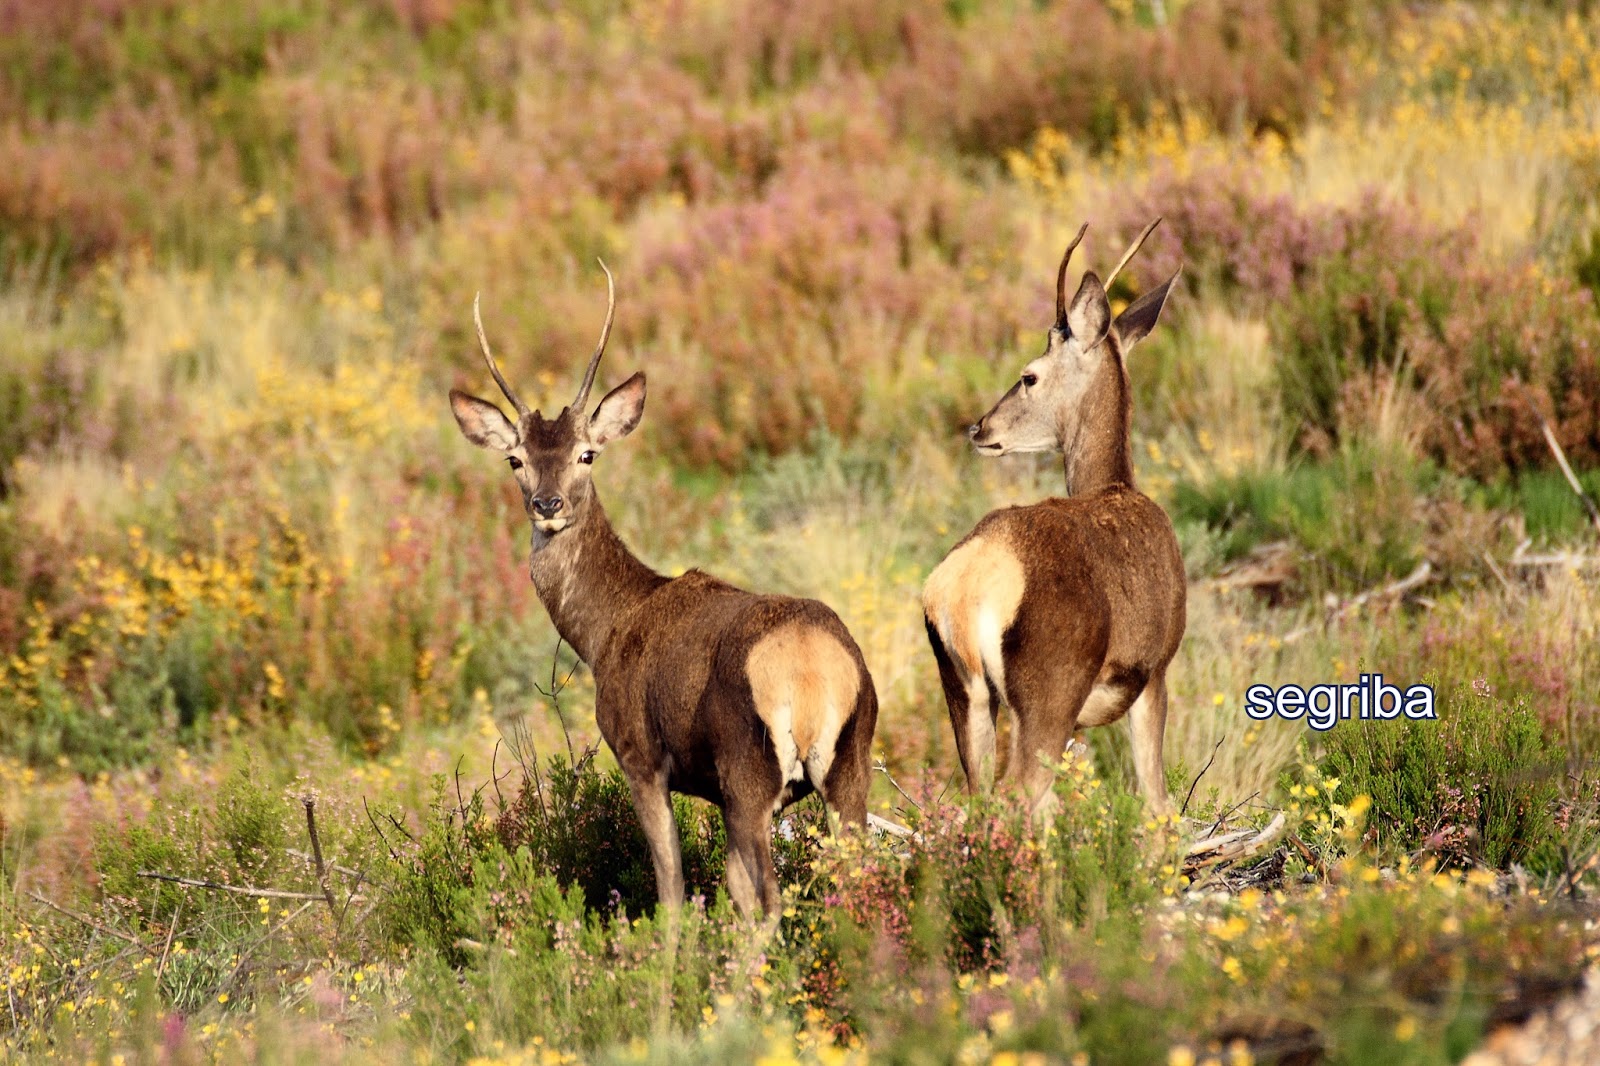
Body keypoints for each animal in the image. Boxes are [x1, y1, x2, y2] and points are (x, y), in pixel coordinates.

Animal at [448, 263, 879, 917]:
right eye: (515, 460)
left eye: (587, 454)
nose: (548, 505)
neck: (603, 634)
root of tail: (814, 671)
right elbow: (729, 888)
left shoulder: (639, 754)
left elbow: (672, 885)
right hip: (852, 760)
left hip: (749, 767)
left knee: (772, 896)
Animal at [921, 219, 1185, 815]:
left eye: (1029, 376)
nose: (980, 428)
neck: (1118, 486)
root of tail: (963, 588)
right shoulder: (1154, 670)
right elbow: (1157, 801)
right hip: (1048, 693)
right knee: (1016, 798)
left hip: (965, 693)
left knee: (980, 798)